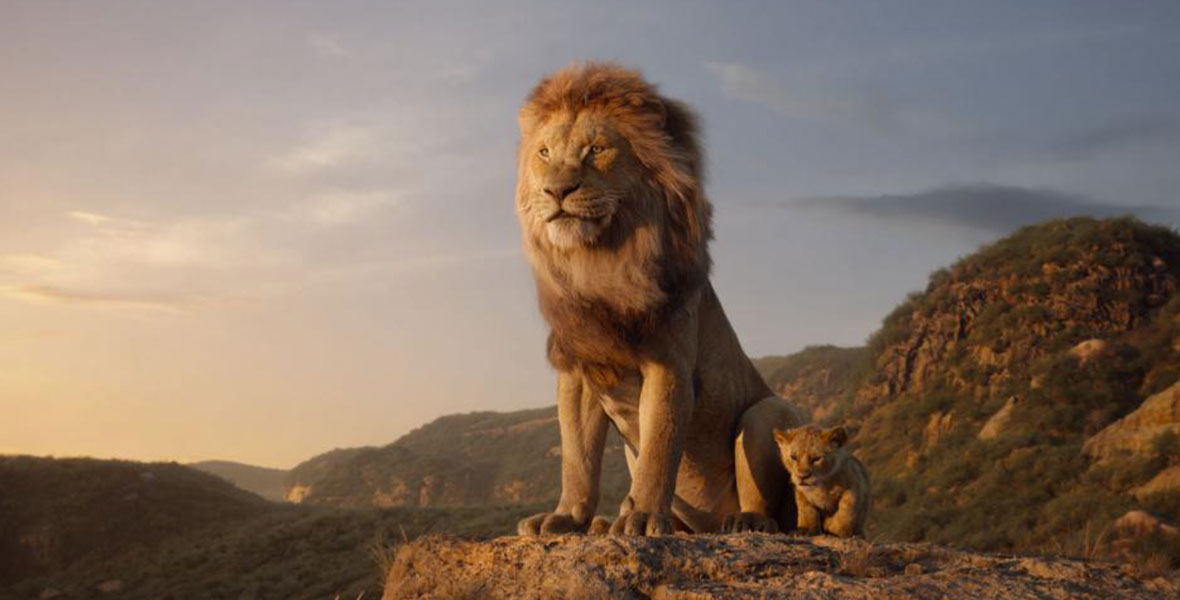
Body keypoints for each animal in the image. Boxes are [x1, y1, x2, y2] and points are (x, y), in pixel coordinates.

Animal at [513, 62, 804, 536]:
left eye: (596, 150)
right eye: (544, 153)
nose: (556, 191)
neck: (599, 262)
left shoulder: (668, 363)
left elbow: (659, 448)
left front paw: (644, 517)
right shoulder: (579, 369)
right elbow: (577, 457)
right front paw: (567, 517)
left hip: (767, 411)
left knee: (769, 503)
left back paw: (745, 522)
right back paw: (605, 523)